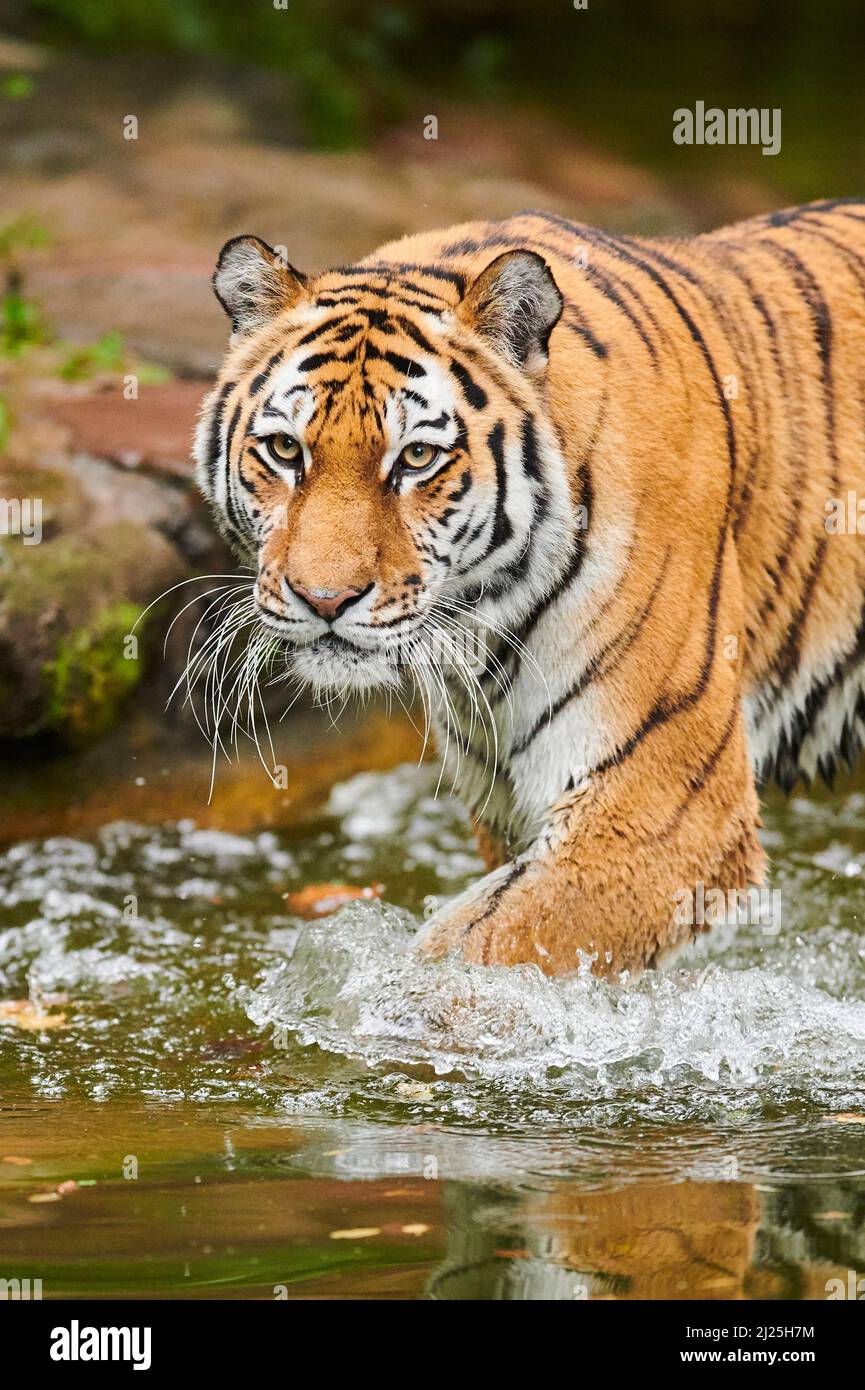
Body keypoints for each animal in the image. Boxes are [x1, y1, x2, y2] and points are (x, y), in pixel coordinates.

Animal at [194, 199, 865, 979]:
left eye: (416, 458)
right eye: (284, 450)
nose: (324, 600)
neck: (488, 623)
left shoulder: (666, 816)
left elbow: (479, 951)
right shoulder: (506, 804)